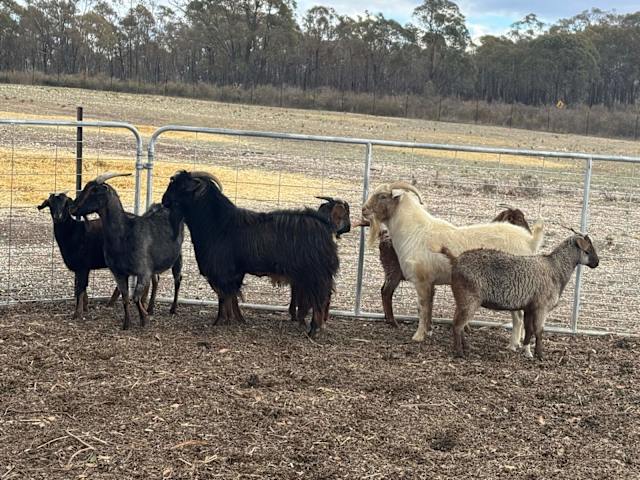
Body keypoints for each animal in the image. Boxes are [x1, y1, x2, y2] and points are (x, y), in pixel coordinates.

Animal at [70, 173, 184, 330]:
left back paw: (172, 309)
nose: (72, 208)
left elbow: (135, 298)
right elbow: (125, 298)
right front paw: (127, 323)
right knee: (156, 280)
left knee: (178, 278)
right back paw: (151, 308)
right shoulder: (119, 273)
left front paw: (143, 319)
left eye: (94, 190)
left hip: (178, 255)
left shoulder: (143, 271)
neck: (125, 233)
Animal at [160, 170, 339, 336]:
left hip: (315, 275)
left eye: (182, 186)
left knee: (320, 300)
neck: (218, 223)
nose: (164, 200)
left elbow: (223, 297)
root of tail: (324, 225)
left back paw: (313, 330)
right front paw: (238, 320)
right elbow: (232, 297)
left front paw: (219, 321)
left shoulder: (222, 271)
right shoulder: (235, 272)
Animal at [361, 181, 544, 347]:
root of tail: (529, 241)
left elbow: (423, 308)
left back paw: (513, 345)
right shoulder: (430, 282)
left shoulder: (422, 280)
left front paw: (418, 336)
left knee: (518, 316)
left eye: (382, 196)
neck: (416, 231)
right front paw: (428, 332)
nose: (364, 210)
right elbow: (428, 308)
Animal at [442, 233, 599, 359]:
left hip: (461, 300)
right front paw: (540, 355)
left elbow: (529, 329)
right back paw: (460, 353)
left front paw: (527, 351)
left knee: (458, 322)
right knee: (458, 325)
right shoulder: (541, 307)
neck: (555, 269)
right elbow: (539, 330)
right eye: (587, 250)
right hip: (469, 299)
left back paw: (466, 346)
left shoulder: (529, 307)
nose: (597, 263)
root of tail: (455, 260)